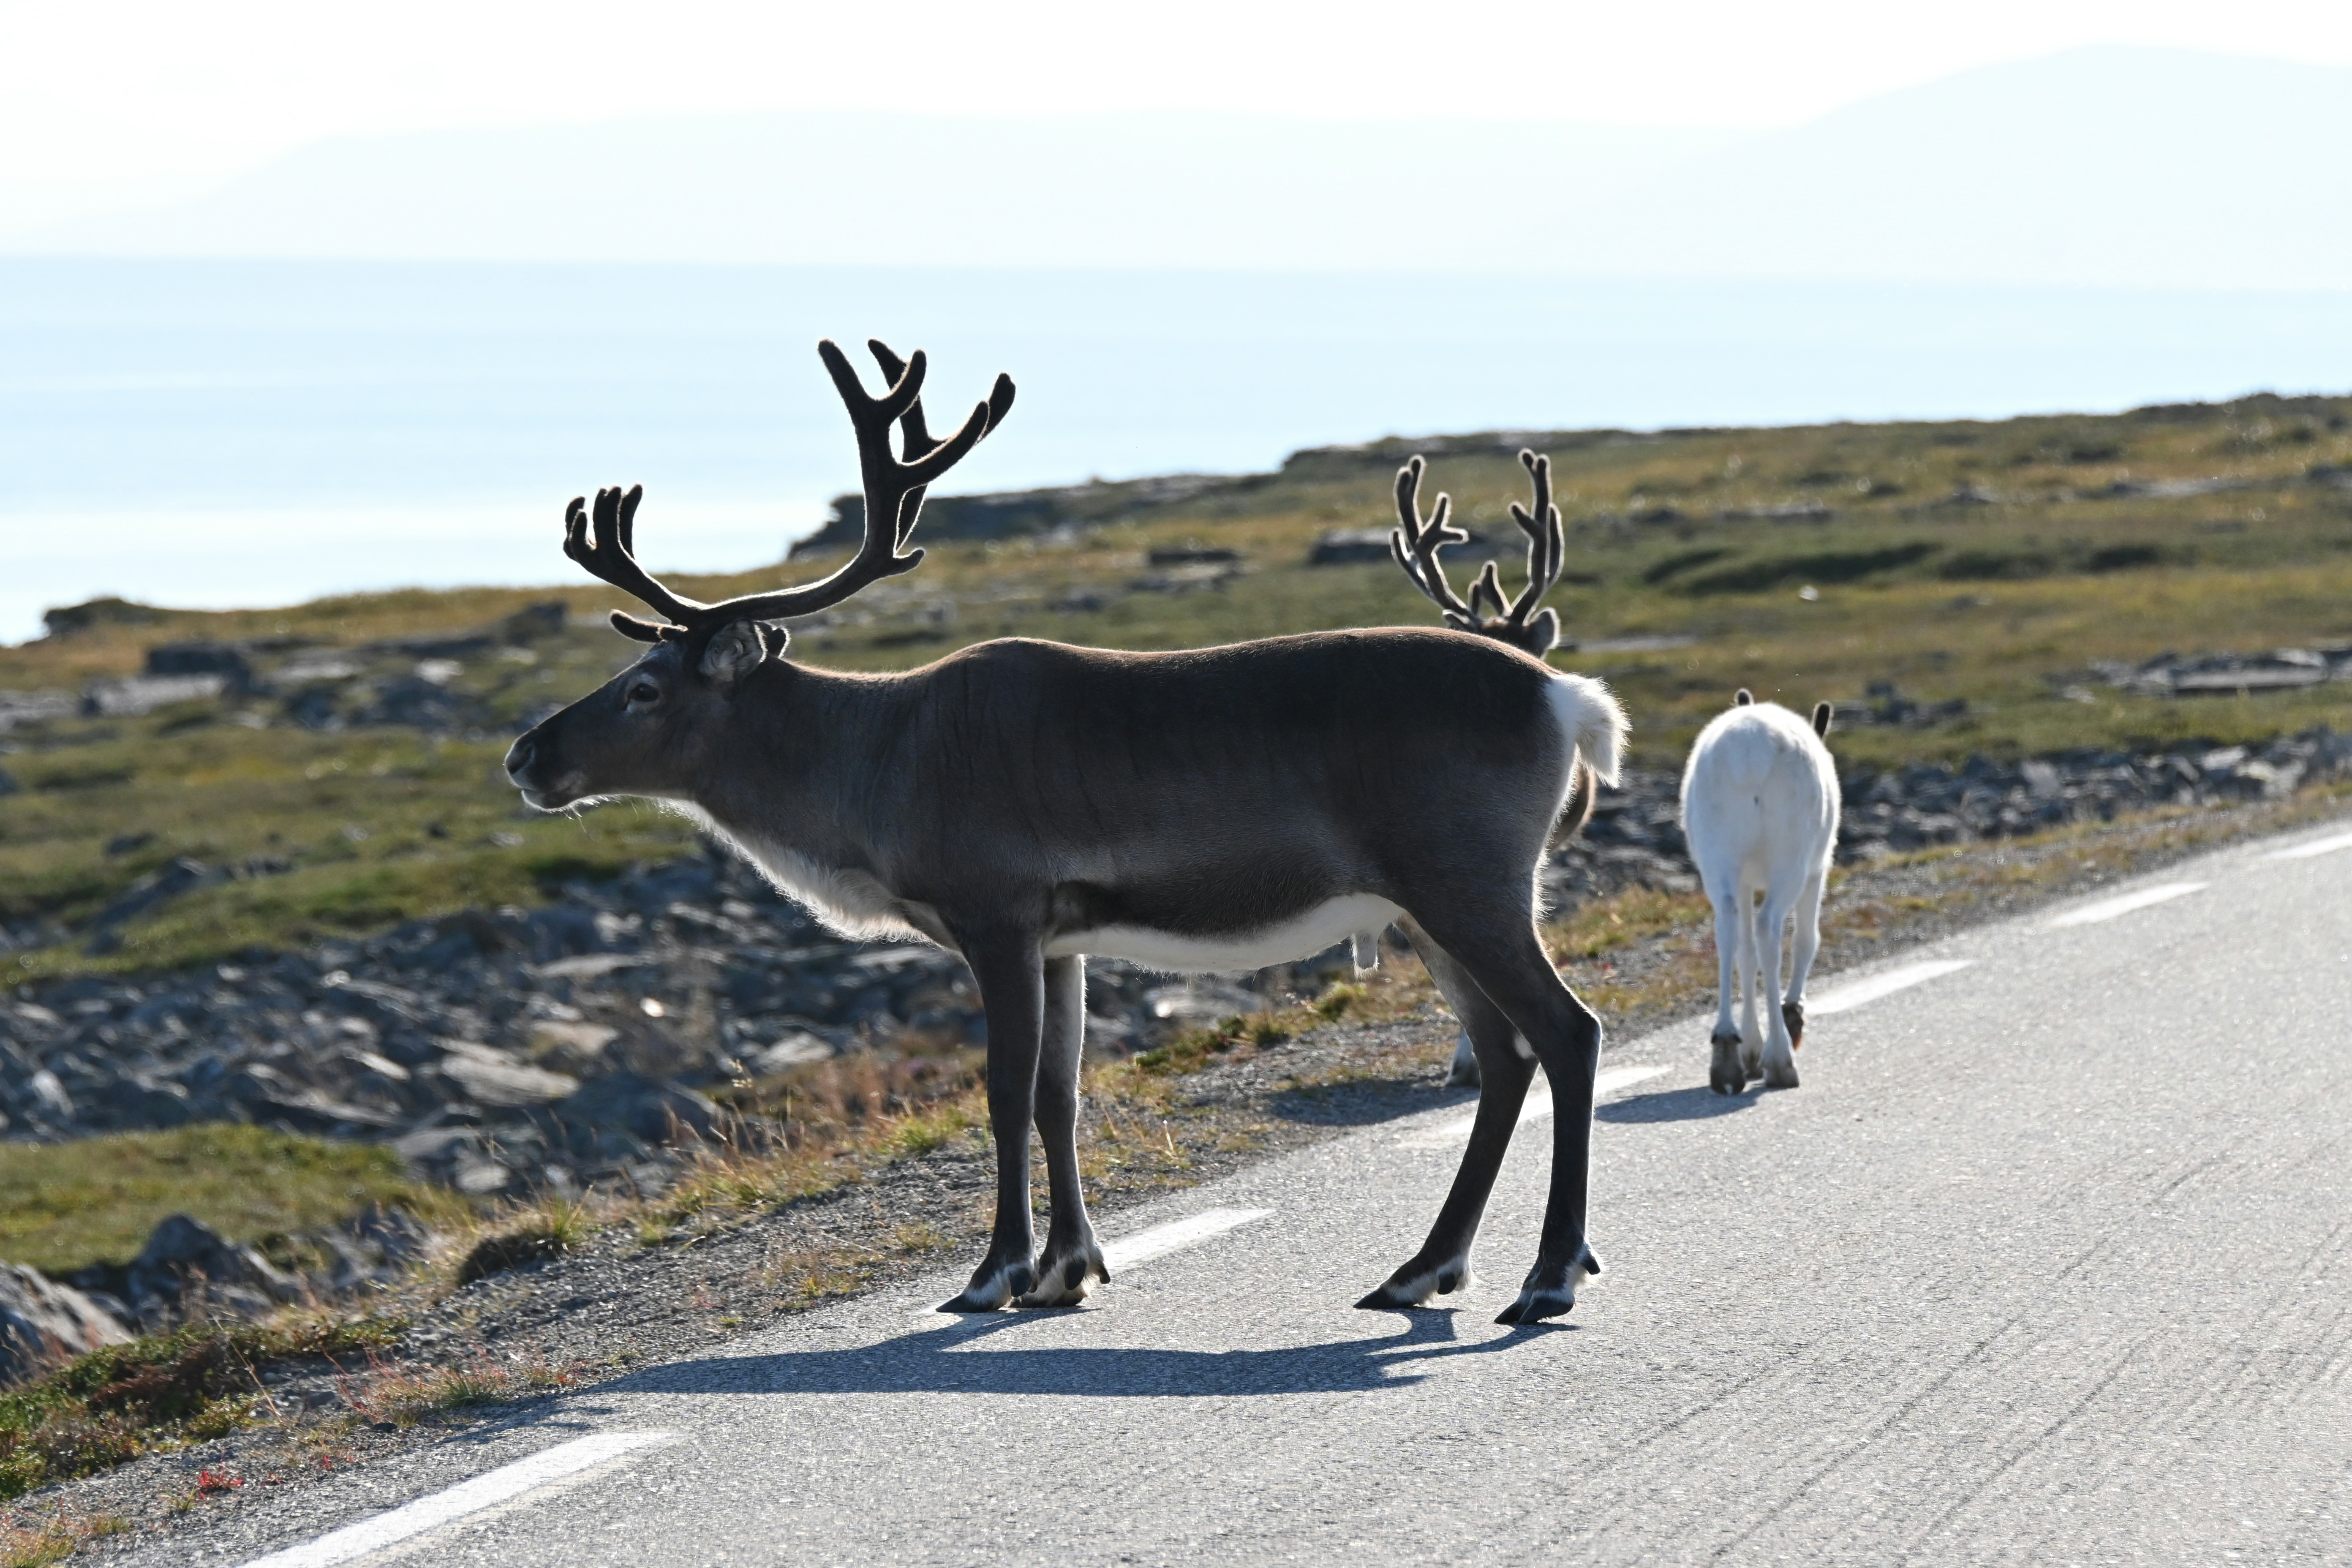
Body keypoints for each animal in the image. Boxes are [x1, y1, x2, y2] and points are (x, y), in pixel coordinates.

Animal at [1679, 689, 1840, 1094]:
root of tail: (1749, 754)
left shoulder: (1745, 881)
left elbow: (1745, 951)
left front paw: (1749, 1049)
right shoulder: (1818, 869)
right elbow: (1806, 941)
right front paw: (1790, 1017)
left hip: (1718, 859)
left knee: (1726, 929)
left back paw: (1725, 1051)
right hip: (1791, 861)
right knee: (1770, 929)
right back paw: (1781, 1058)